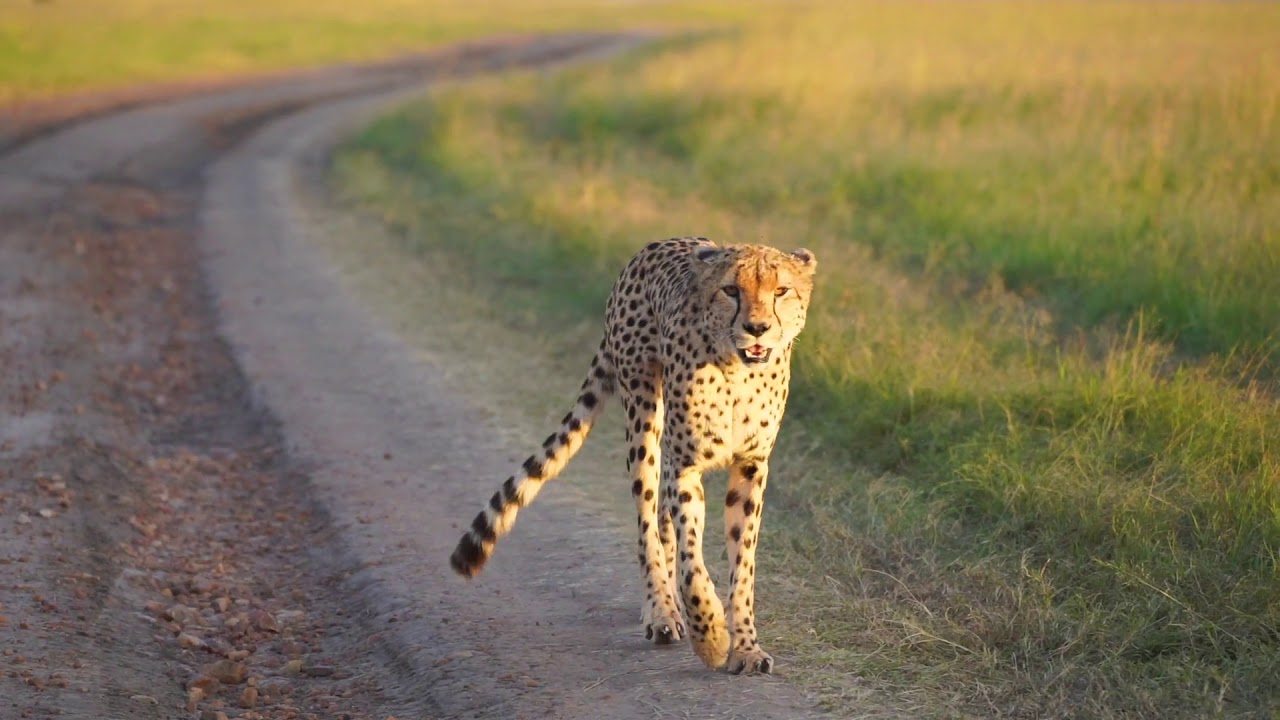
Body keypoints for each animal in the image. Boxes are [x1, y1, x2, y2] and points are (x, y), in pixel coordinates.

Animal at [450, 237, 817, 674]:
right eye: (731, 290)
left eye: (781, 291)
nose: (757, 328)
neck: (738, 372)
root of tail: (657, 244)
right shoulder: (684, 464)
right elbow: (692, 562)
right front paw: (710, 636)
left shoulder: (751, 466)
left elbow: (741, 565)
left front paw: (744, 647)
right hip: (644, 418)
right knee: (647, 524)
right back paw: (661, 611)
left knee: (661, 525)